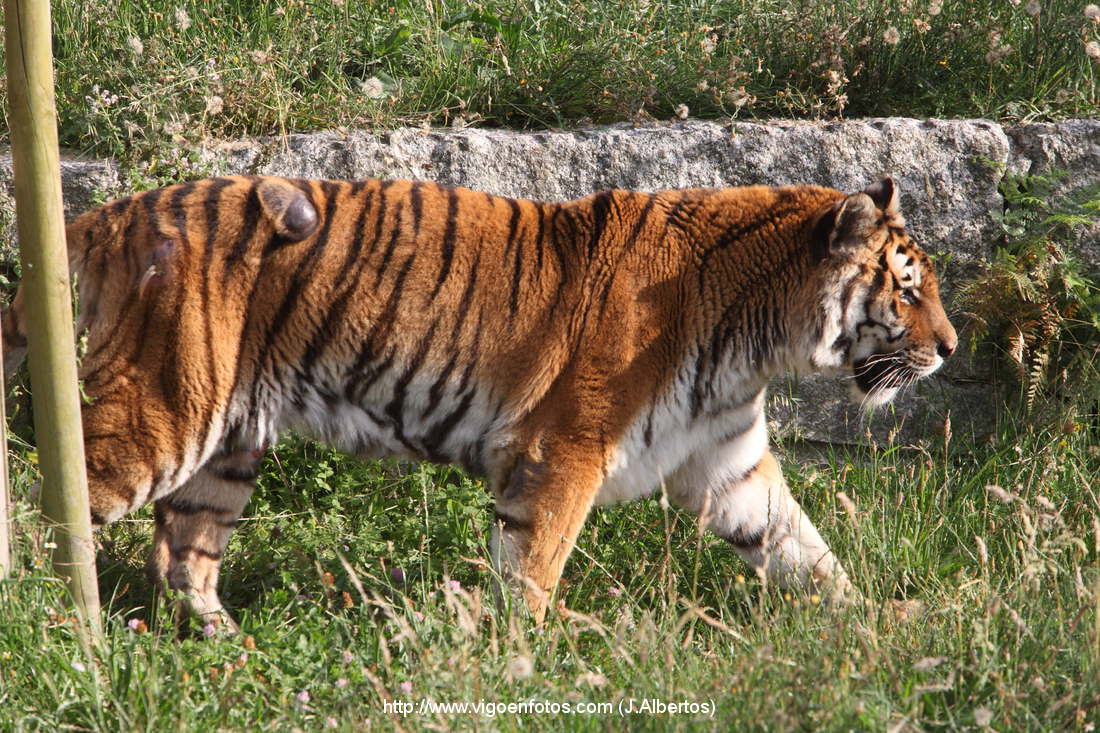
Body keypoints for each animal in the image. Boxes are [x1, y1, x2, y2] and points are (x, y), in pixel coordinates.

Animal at [2, 174, 957, 630]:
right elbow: (534, 567)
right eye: (908, 290)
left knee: (184, 556)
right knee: (52, 500)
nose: (950, 348)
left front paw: (876, 627)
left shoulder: (727, 465)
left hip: (227, 443)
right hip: (163, 407)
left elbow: (806, 550)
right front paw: (520, 661)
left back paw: (232, 654)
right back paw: (50, 623)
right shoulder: (563, 449)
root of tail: (113, 212)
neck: (755, 333)